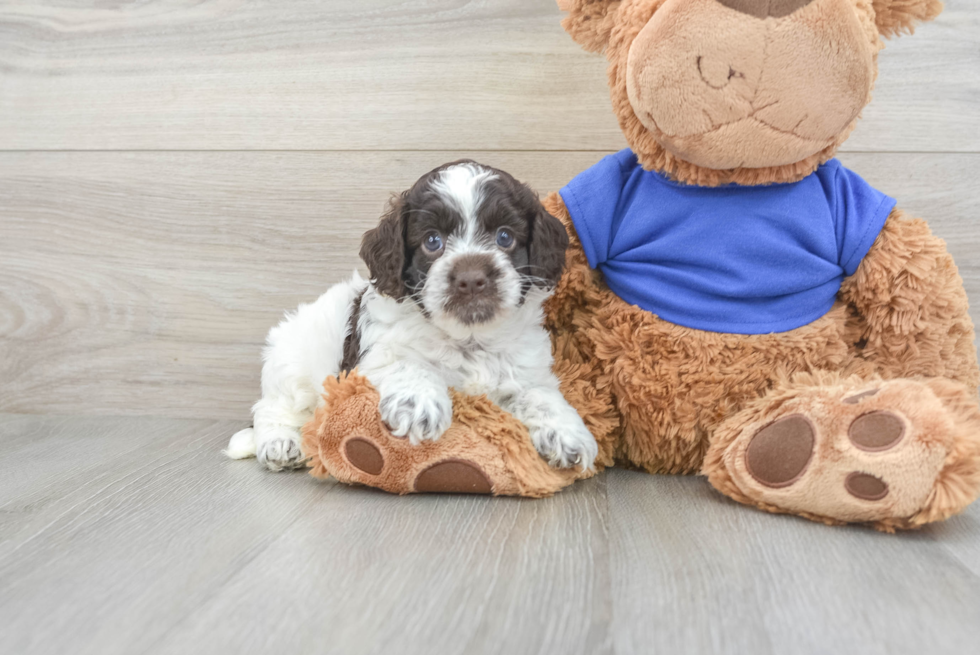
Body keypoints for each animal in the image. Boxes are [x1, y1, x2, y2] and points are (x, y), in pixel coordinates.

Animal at [225, 161, 598, 473]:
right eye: (432, 241)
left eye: (504, 236)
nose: (471, 279)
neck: (468, 339)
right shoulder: (371, 360)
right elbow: (408, 364)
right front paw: (418, 404)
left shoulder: (525, 370)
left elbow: (540, 395)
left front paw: (567, 433)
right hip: (291, 361)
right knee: (272, 408)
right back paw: (280, 442)